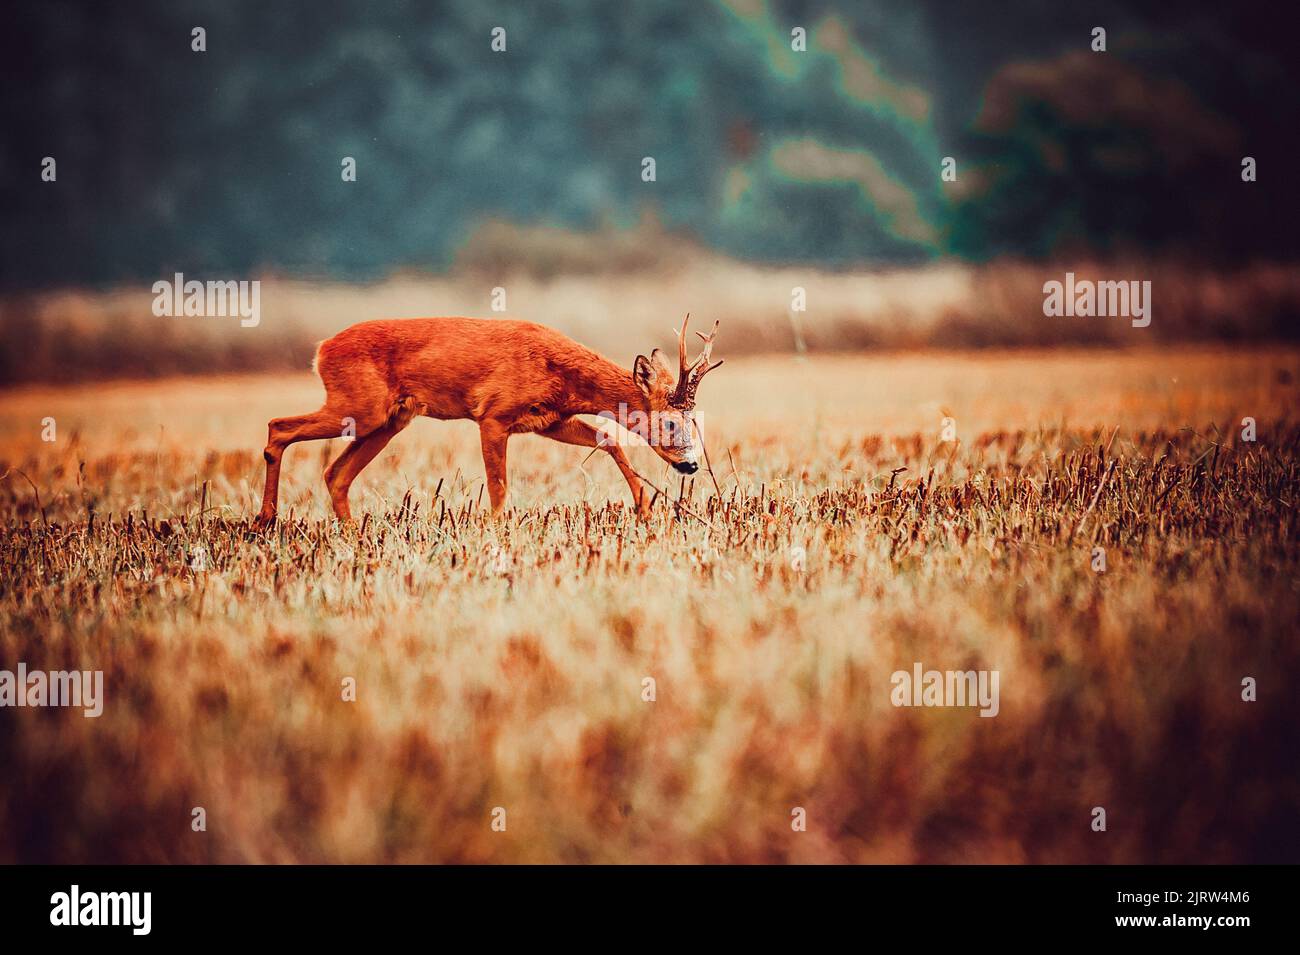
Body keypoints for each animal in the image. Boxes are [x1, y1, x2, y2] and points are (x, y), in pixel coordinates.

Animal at [254, 315, 722, 525]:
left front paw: (643, 507)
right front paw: (498, 531)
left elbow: (609, 438)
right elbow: (499, 486)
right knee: (278, 426)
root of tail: (321, 349)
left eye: (695, 422)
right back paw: (266, 520)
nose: (691, 465)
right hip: (358, 406)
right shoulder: (493, 414)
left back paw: (353, 534)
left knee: (335, 473)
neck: (557, 370)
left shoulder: (549, 421)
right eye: (671, 424)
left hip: (387, 420)